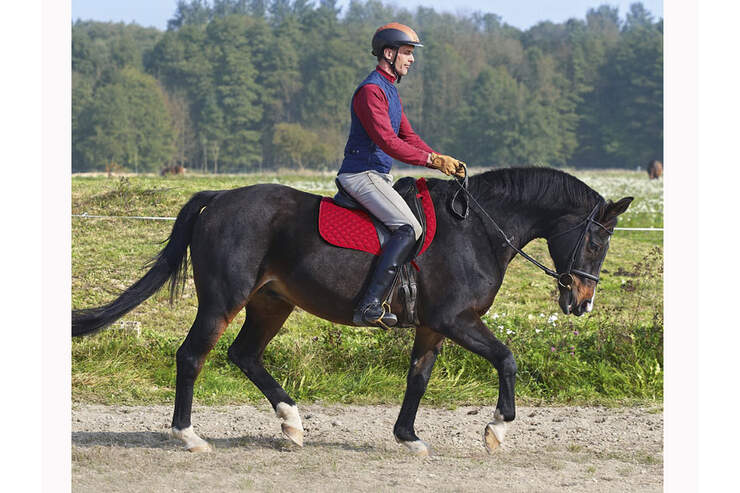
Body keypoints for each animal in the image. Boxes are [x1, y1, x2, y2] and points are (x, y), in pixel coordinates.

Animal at [72, 167, 632, 456]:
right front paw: (496, 430)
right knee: (192, 356)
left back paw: (292, 424)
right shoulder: (456, 320)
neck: (477, 230)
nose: (581, 302)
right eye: (596, 241)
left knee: (245, 356)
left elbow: (418, 378)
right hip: (223, 301)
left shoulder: (433, 326)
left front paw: (409, 438)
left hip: (271, 304)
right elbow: (507, 359)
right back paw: (190, 437)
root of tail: (222, 198)